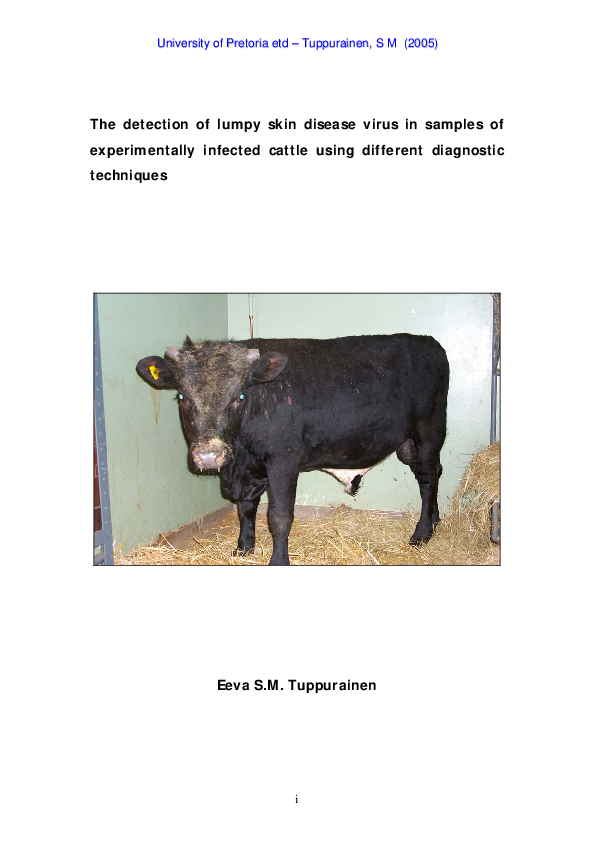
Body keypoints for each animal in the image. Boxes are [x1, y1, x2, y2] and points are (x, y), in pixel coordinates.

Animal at [136, 334, 449, 565]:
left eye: (239, 396)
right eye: (182, 396)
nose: (210, 456)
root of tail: (427, 341)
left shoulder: (282, 461)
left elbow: (279, 515)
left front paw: (278, 560)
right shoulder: (250, 470)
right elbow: (245, 509)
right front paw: (244, 548)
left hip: (428, 432)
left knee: (428, 479)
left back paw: (421, 533)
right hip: (410, 445)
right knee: (433, 474)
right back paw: (434, 522)